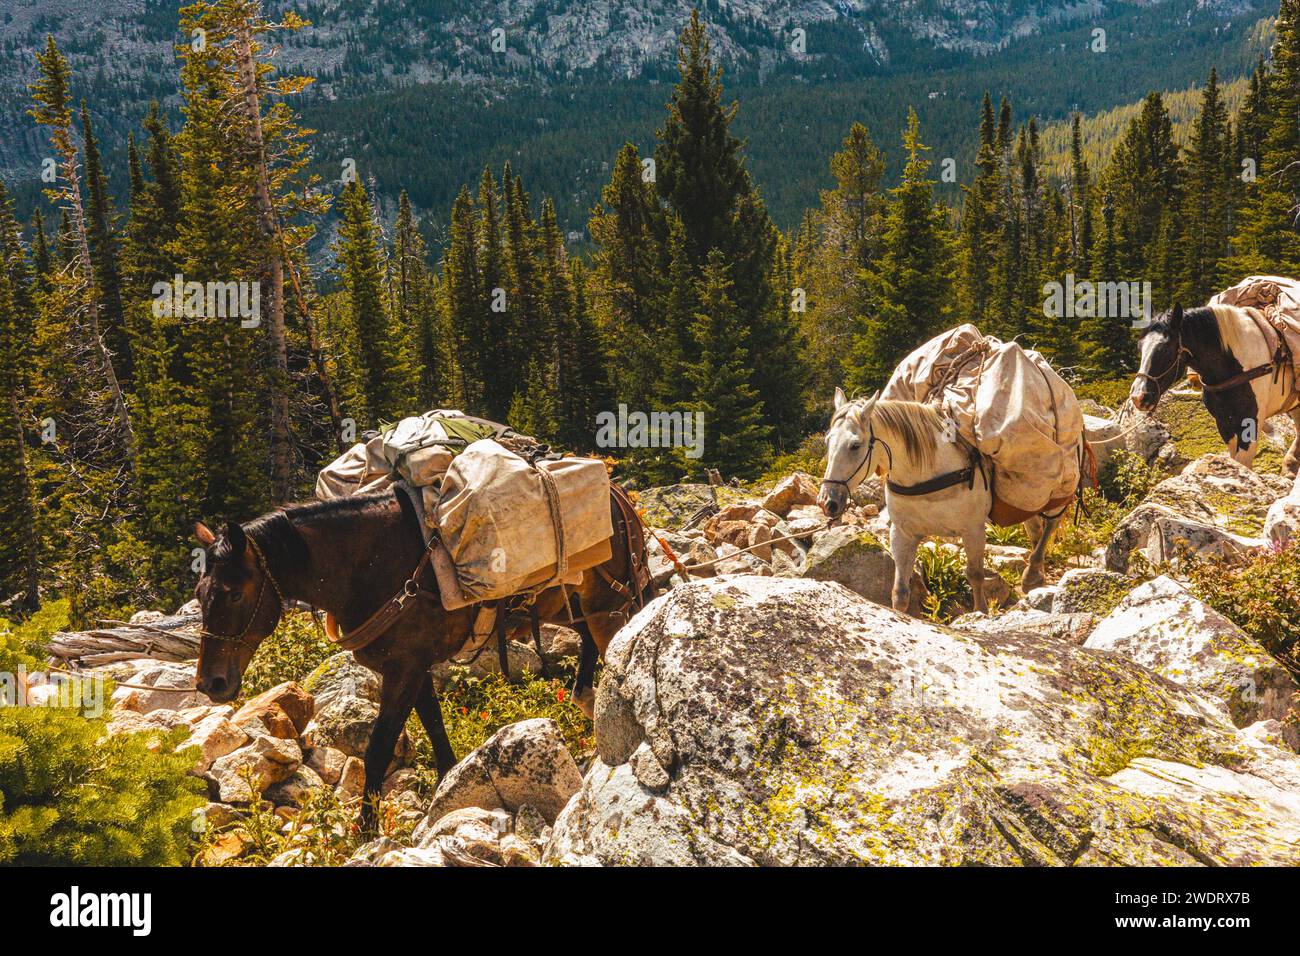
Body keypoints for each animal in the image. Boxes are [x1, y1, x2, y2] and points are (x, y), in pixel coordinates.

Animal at [191, 484, 653, 832]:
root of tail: (617, 496)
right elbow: (433, 724)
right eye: (199, 593)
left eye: (234, 593)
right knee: (588, 642)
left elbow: (378, 749)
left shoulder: (404, 670)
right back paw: (583, 699)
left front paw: (366, 830)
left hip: (610, 603)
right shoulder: (414, 668)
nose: (211, 684)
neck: (368, 568)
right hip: (574, 606)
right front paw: (449, 785)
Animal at [817, 388, 1064, 615]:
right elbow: (900, 591)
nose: (828, 501)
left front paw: (981, 612)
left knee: (1050, 524)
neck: (926, 474)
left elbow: (975, 575)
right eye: (827, 441)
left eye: (855, 445)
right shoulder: (902, 533)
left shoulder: (973, 530)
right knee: (1034, 527)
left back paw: (1033, 573)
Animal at [1130, 303, 1300, 477]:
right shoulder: (1224, 422)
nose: (1139, 396)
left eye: (1165, 349)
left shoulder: (1251, 420)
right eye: (1139, 347)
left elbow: (1243, 462)